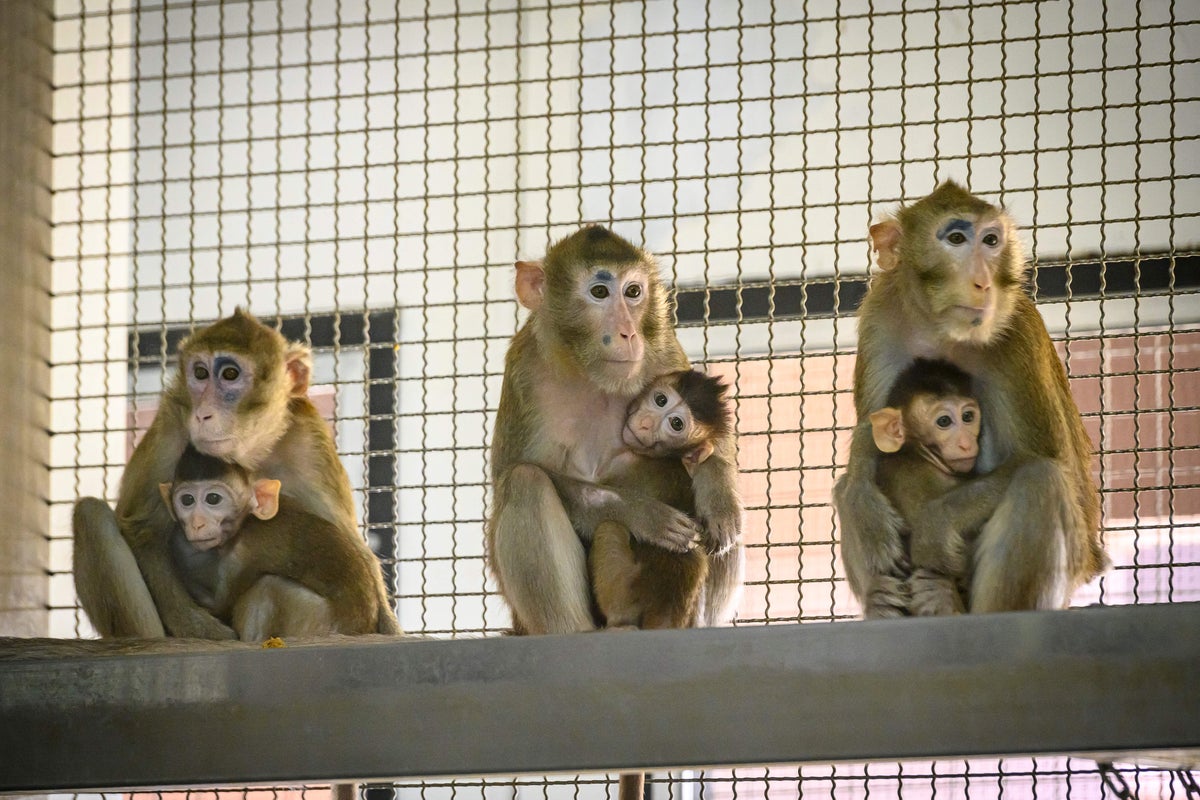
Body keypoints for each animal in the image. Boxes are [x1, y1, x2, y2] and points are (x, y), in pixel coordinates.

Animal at [161, 444, 391, 639]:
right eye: (187, 500)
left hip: (316, 622)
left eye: (213, 499)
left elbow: (220, 605)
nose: (197, 523)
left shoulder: (244, 552)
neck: (247, 521)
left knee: (268, 587)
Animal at [586, 369, 735, 629]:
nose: (646, 423)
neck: (667, 458)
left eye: (676, 424)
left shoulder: (622, 464)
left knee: (610, 528)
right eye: (661, 400)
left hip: (622, 594)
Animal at [833, 180, 1107, 618]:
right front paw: (863, 504)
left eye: (991, 241)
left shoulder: (1017, 335)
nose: (983, 282)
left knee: (1041, 480)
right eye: (957, 239)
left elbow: (1060, 468)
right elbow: (871, 440)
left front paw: (936, 523)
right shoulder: (881, 317)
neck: (943, 332)